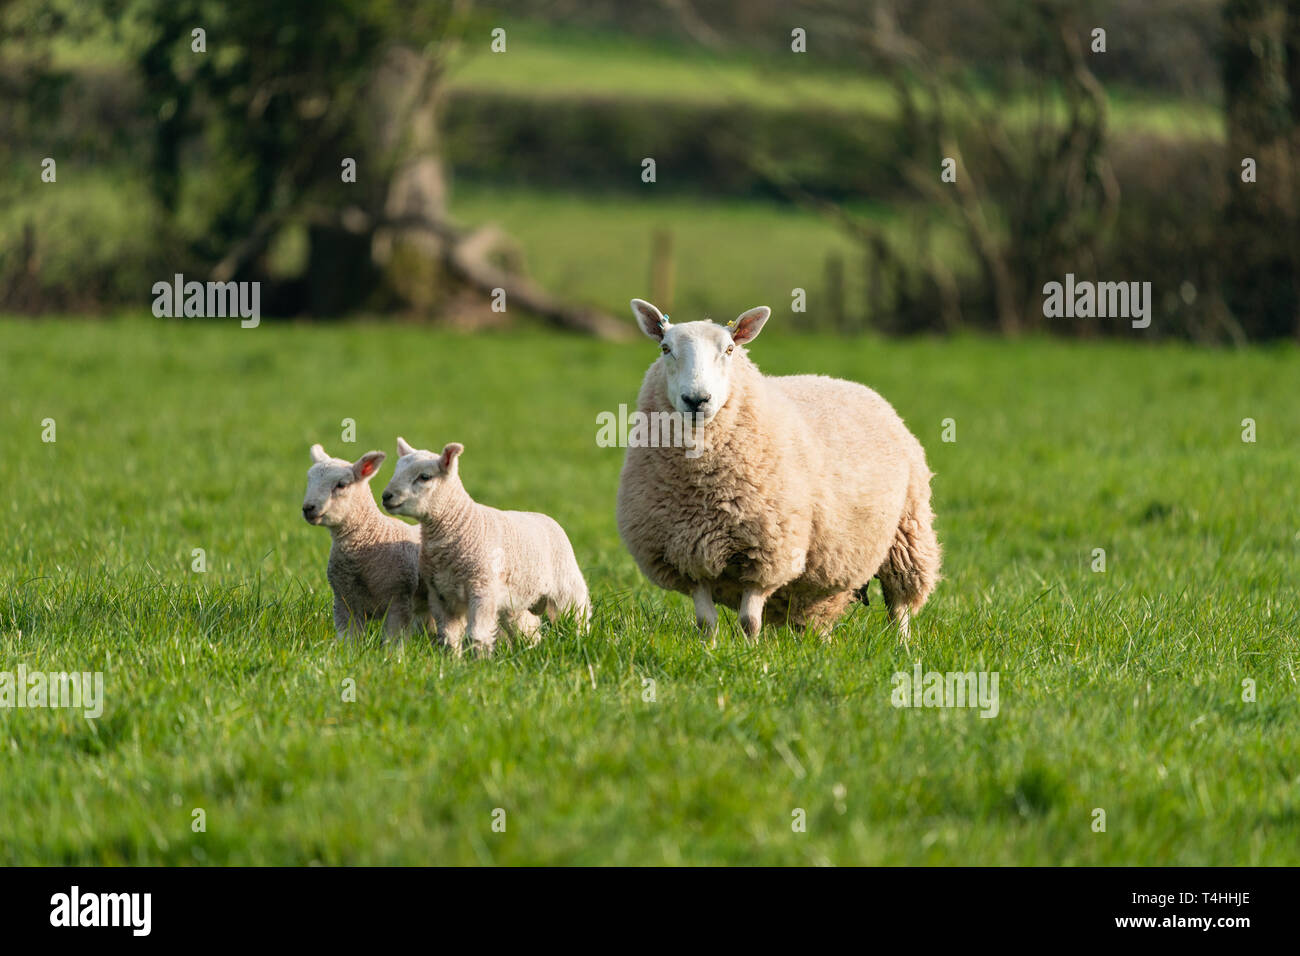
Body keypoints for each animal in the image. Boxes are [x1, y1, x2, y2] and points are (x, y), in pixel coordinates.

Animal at [302, 443, 429, 643]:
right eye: (309, 480)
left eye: (341, 484)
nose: (308, 508)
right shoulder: (344, 604)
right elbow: (349, 641)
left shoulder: (398, 603)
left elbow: (394, 641)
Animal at [381, 437, 591, 656]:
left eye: (424, 477)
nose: (386, 496)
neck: (462, 524)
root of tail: (544, 517)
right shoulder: (440, 594)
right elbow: (448, 636)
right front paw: (453, 661)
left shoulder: (483, 589)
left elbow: (477, 635)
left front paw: (479, 661)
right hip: (515, 602)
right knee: (527, 631)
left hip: (567, 585)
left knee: (579, 614)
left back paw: (581, 641)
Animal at [616, 298, 941, 641]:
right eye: (665, 348)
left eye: (729, 349)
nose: (696, 399)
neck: (704, 486)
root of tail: (849, 383)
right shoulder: (688, 556)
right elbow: (706, 622)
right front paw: (708, 650)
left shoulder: (769, 555)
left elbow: (749, 621)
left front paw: (749, 653)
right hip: (830, 564)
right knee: (821, 612)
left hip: (907, 533)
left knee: (899, 604)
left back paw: (901, 644)